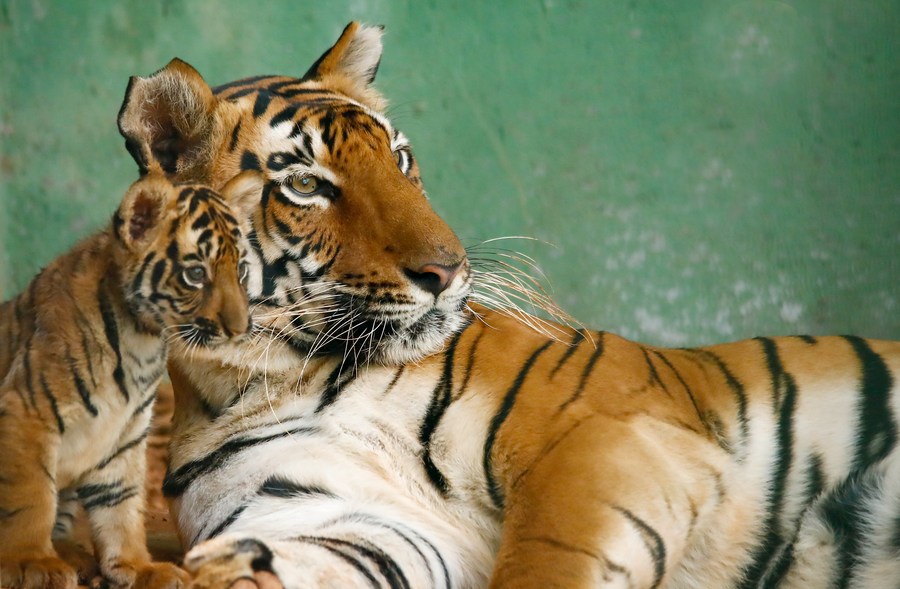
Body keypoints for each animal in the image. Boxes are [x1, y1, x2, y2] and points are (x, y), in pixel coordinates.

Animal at [0, 171, 262, 589]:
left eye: (240, 270)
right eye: (196, 274)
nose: (240, 329)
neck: (141, 339)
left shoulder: (123, 433)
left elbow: (120, 507)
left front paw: (139, 567)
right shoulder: (27, 412)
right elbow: (31, 497)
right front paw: (32, 562)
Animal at [116, 22, 900, 589]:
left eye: (400, 160)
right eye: (307, 185)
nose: (446, 270)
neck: (279, 374)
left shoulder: (595, 433)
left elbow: (544, 563)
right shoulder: (342, 510)